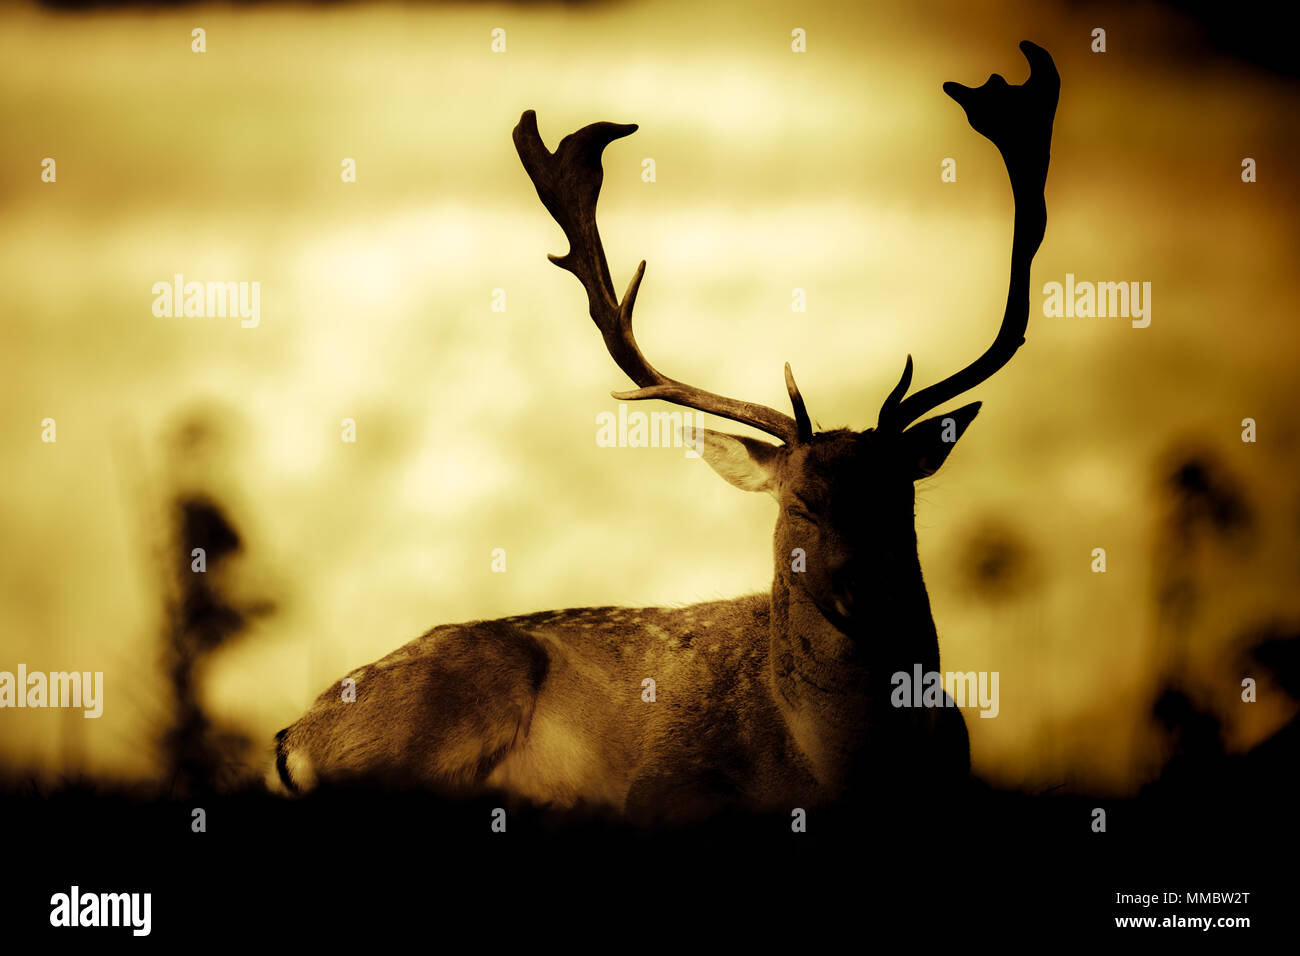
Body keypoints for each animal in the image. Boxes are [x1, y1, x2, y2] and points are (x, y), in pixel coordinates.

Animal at [269, 42, 1059, 823]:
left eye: (901, 499)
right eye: (798, 503)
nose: (859, 588)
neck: (845, 773)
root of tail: (294, 737)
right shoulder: (665, 783)